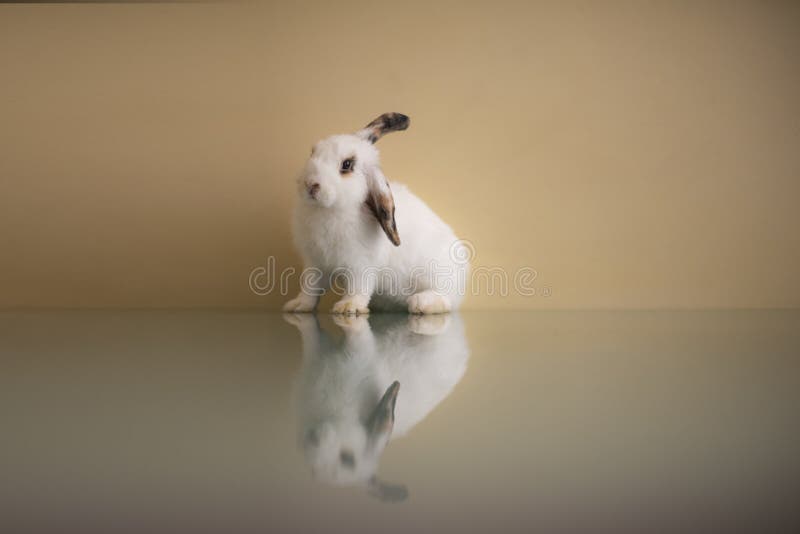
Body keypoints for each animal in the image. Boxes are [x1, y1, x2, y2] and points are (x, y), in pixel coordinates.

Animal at [283, 113, 470, 315]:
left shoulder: (360, 264)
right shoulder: (315, 263)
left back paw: (422, 303)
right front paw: (298, 306)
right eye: (313, 152)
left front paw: (349, 307)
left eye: (347, 164)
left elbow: (358, 287)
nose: (310, 185)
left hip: (439, 277)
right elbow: (310, 287)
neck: (328, 209)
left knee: (446, 300)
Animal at [284, 312, 469, 501]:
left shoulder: (358, 351)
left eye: (348, 459)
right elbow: (312, 337)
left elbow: (356, 341)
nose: (313, 438)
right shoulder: (317, 353)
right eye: (313, 471)